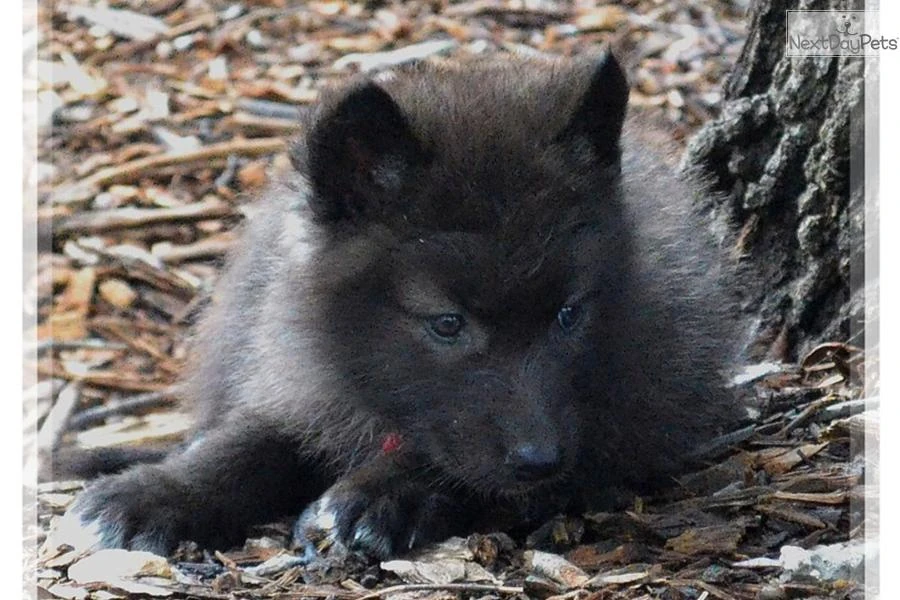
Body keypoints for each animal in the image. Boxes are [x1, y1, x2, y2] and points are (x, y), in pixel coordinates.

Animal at [57, 52, 741, 560]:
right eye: (447, 324)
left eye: (568, 315)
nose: (539, 460)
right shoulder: (300, 379)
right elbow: (244, 443)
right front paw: (158, 491)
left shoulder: (617, 419)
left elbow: (451, 462)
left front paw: (382, 495)